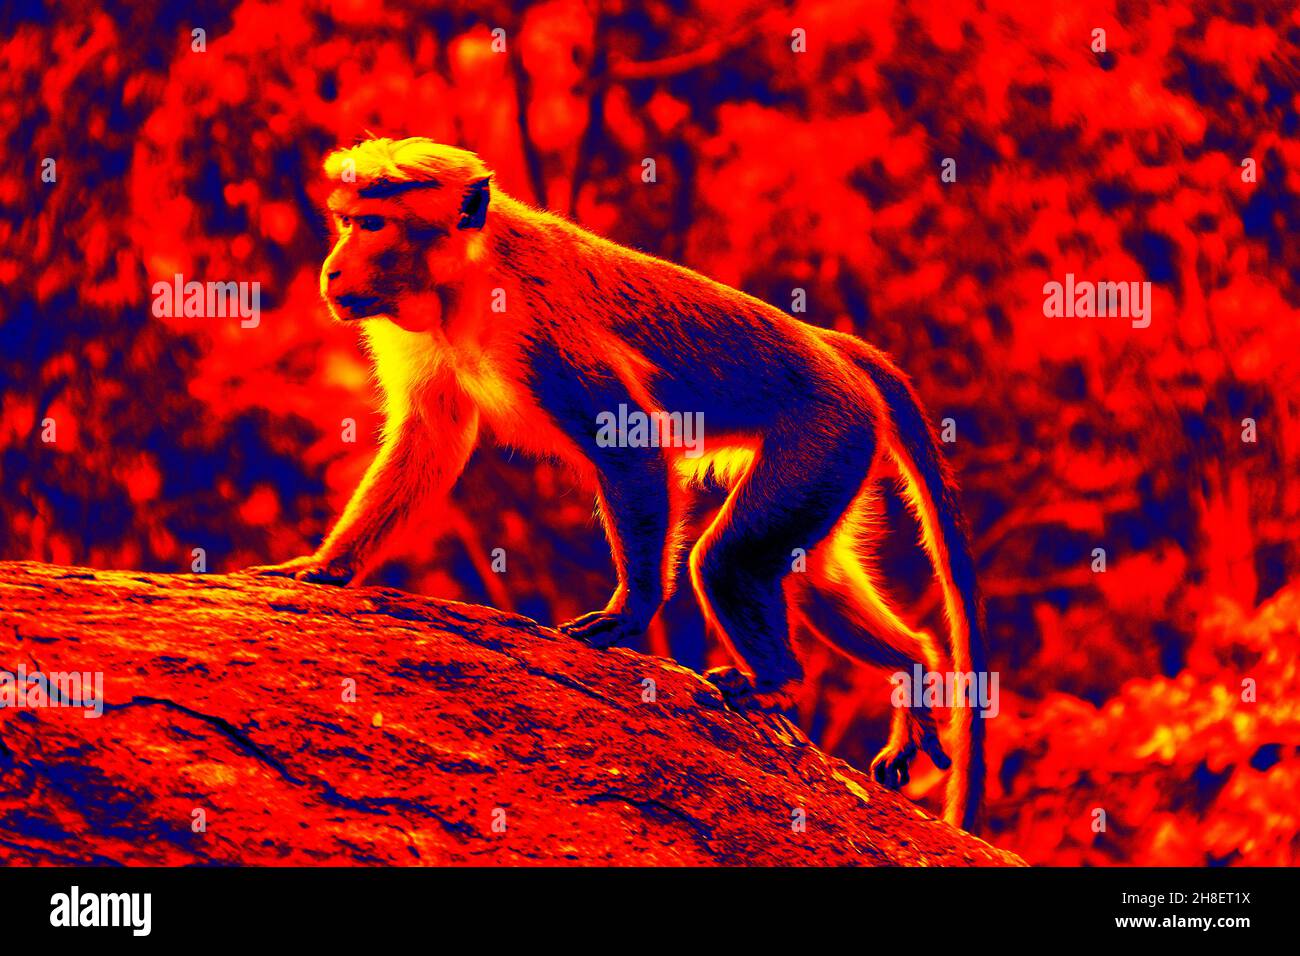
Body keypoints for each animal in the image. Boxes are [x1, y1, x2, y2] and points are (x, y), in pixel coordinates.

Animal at [247, 137, 987, 832]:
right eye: (348, 221)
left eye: (373, 223)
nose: (333, 267)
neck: (466, 274)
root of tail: (830, 344)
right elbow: (430, 437)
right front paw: (327, 566)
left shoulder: (536, 324)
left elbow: (628, 443)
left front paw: (631, 613)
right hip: (841, 447)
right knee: (810, 577)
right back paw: (913, 665)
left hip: (825, 428)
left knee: (726, 561)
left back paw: (777, 684)